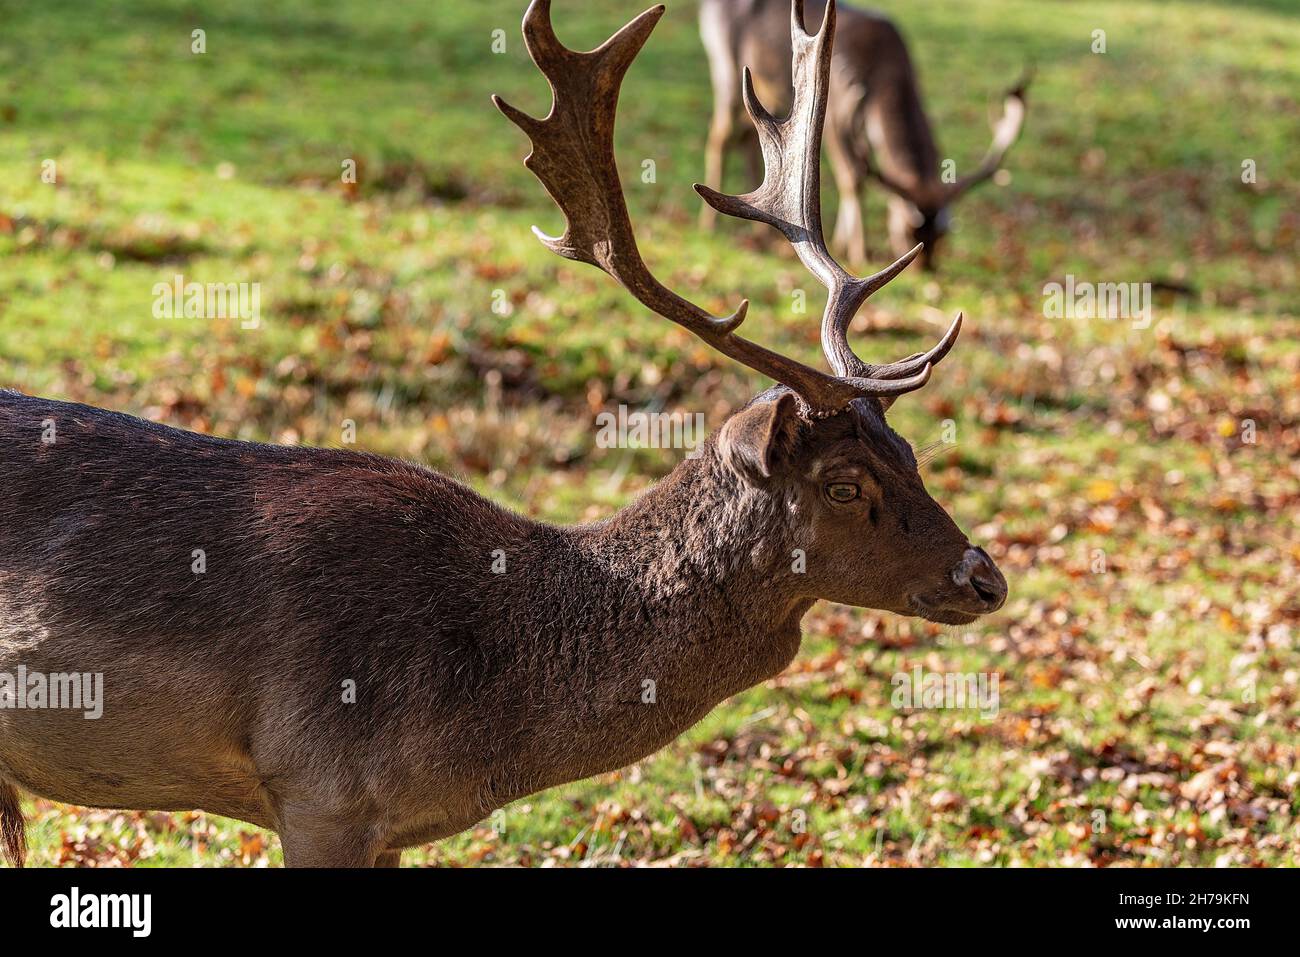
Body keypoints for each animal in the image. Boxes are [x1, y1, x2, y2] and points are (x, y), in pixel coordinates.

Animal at [699, 0, 1030, 270]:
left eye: (942, 235)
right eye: (906, 232)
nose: (927, 269)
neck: (886, 68)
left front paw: (841, 243)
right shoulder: (836, 115)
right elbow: (853, 178)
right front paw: (859, 252)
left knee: (747, 139)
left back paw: (760, 233)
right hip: (725, 67)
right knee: (719, 137)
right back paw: (710, 224)